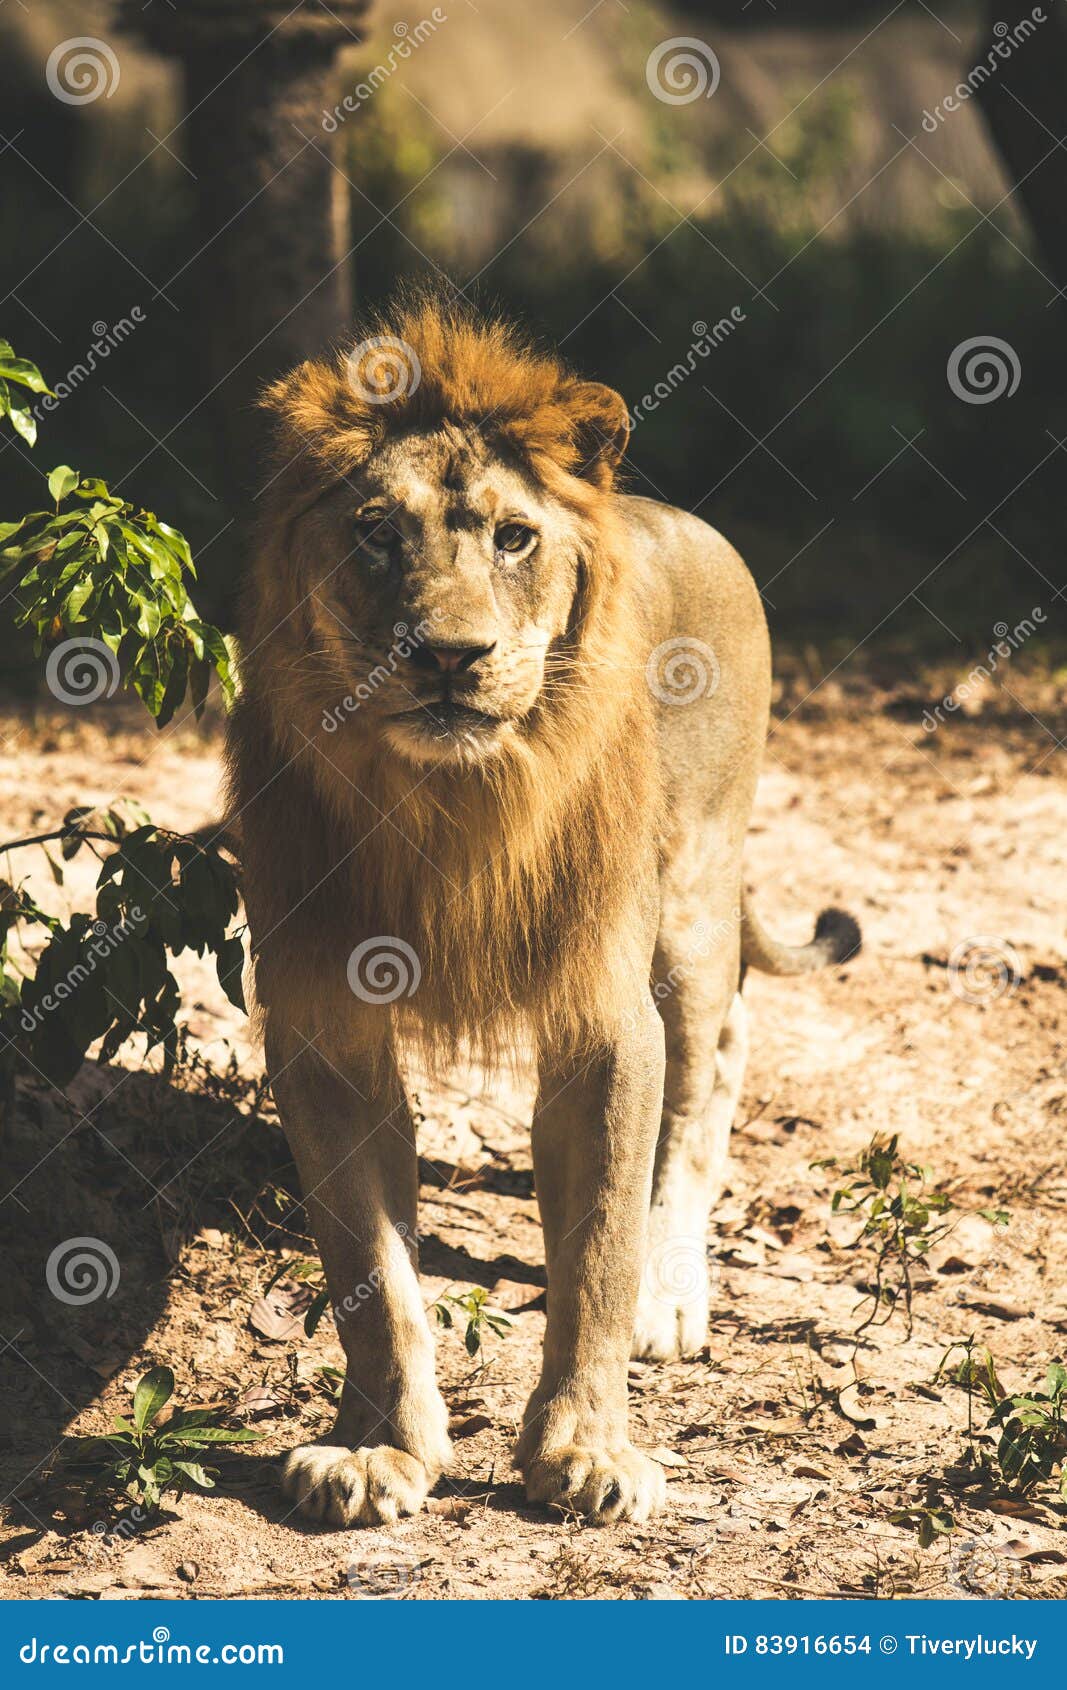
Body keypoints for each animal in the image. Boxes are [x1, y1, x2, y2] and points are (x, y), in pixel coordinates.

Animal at [227, 294, 860, 1529]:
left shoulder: (603, 1014)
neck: (444, 806)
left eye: (513, 539)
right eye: (375, 533)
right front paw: (377, 1449)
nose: (448, 655)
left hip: (693, 897)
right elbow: (371, 1270)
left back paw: (672, 1290)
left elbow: (597, 1249)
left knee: (713, 1058)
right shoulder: (324, 1023)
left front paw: (587, 1446)